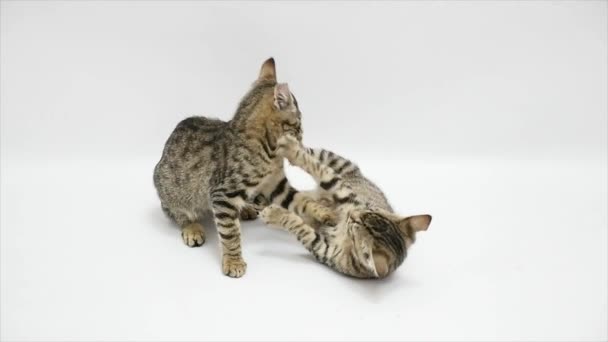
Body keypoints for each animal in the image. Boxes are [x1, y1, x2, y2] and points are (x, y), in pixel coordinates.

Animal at [151, 58, 332, 278]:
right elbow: (230, 233)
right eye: (299, 123)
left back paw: (245, 209)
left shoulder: (276, 185)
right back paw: (192, 227)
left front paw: (324, 212)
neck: (270, 153)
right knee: (176, 213)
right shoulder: (222, 194)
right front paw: (233, 261)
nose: (302, 137)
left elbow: (302, 199)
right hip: (173, 192)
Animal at [262, 136, 432, 278]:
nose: (352, 214)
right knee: (312, 153)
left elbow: (301, 229)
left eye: (356, 225)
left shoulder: (324, 250)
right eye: (370, 209)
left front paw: (273, 214)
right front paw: (291, 149)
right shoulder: (344, 192)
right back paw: (287, 143)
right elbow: (323, 172)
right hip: (335, 160)